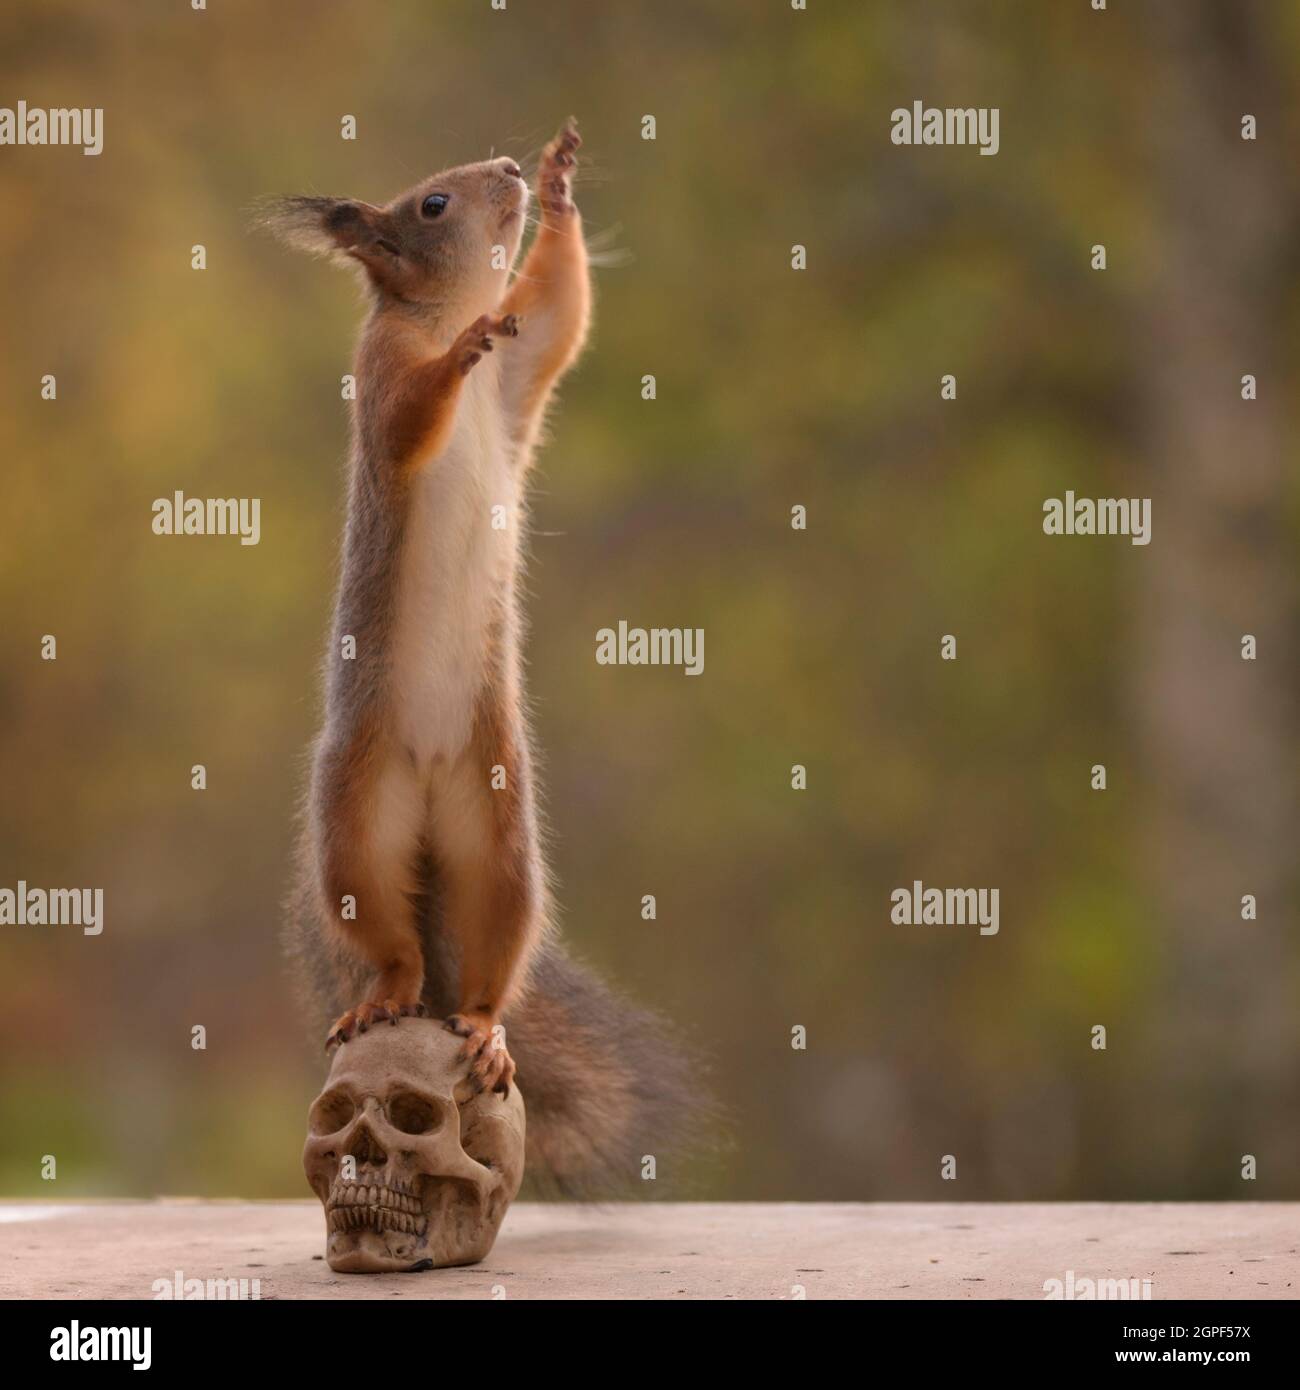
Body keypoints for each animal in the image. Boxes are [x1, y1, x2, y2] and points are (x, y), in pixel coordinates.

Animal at [265, 121, 705, 1194]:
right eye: (431, 203)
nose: (507, 174)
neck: (448, 310)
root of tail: (425, 790)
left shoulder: (523, 370)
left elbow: (560, 317)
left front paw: (562, 183)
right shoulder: (381, 370)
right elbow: (406, 418)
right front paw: (458, 353)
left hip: (498, 834)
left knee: (486, 959)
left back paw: (485, 1027)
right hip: (358, 820)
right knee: (386, 942)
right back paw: (386, 994)